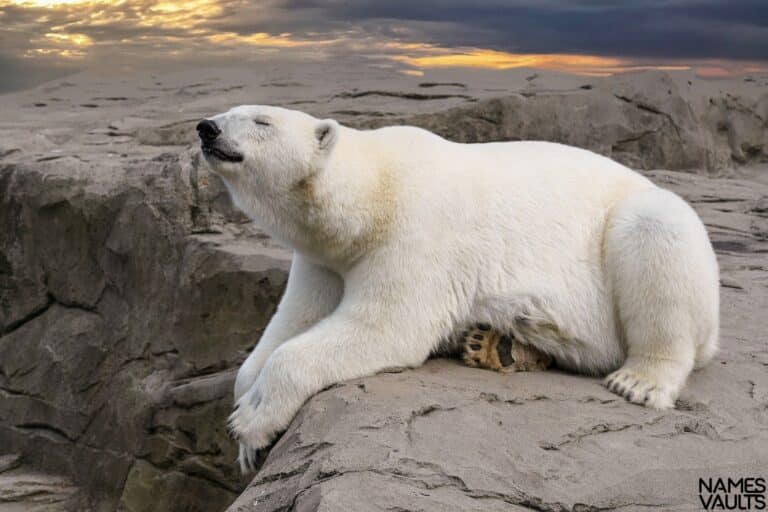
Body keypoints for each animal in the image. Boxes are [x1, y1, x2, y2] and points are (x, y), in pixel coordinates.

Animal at [197, 105, 720, 473]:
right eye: (232, 110)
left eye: (261, 120)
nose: (207, 128)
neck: (373, 192)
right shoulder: (324, 259)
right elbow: (294, 319)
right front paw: (247, 432)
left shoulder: (418, 230)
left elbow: (385, 326)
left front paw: (251, 420)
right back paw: (495, 343)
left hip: (641, 233)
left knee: (655, 234)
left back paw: (639, 380)